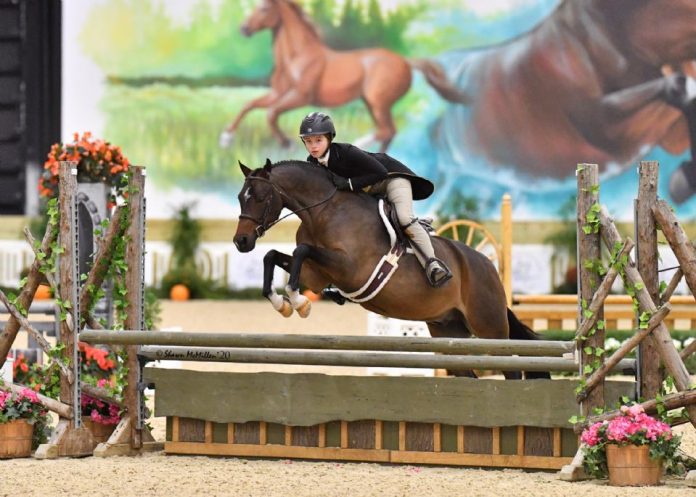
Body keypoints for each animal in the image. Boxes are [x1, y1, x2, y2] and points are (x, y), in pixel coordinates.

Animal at [219, 0, 465, 152]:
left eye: (263, 8)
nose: (244, 29)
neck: (297, 58)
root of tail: (405, 61)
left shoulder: (301, 97)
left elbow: (270, 114)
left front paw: (287, 143)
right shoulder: (278, 93)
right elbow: (249, 106)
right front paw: (226, 138)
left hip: (378, 103)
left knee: (386, 130)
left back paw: (359, 145)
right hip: (372, 104)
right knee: (389, 133)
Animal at [232, 159, 549, 380]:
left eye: (260, 197)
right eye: (239, 197)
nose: (241, 241)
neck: (322, 211)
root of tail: (489, 267)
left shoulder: (349, 268)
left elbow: (300, 252)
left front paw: (297, 301)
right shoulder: (316, 275)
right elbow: (274, 256)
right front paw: (282, 303)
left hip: (489, 326)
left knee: (511, 370)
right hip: (449, 331)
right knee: (466, 373)